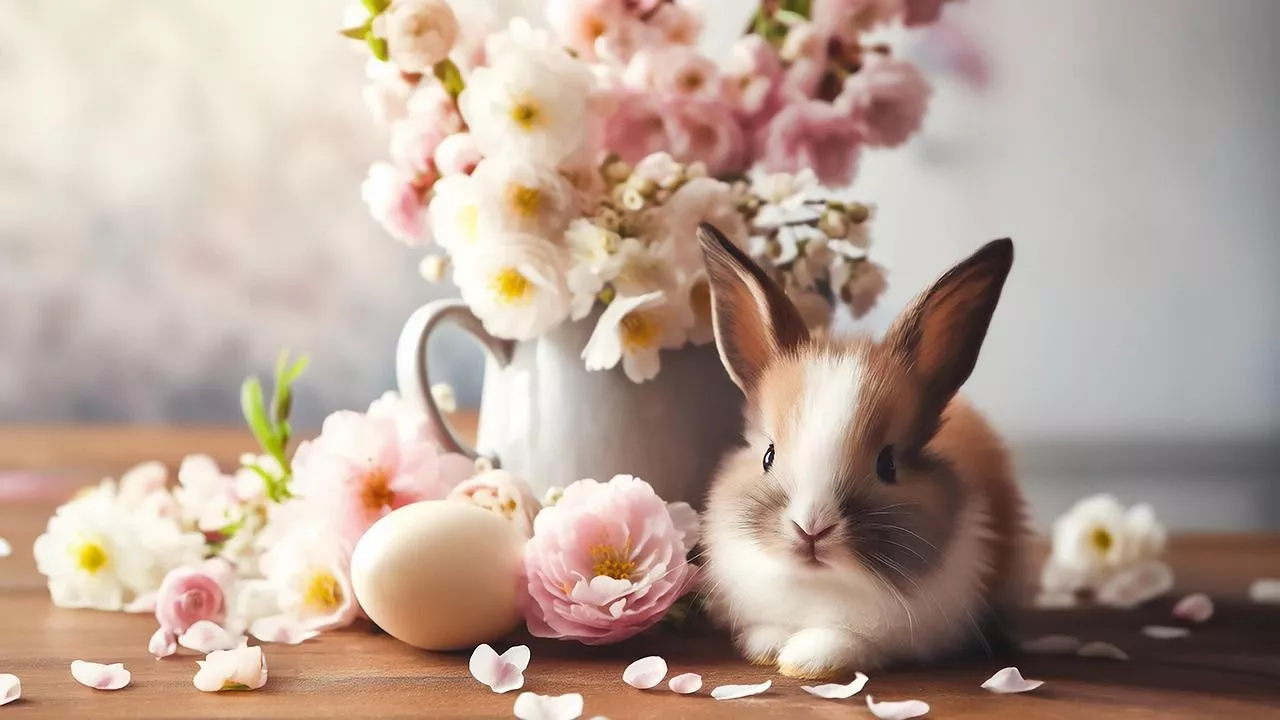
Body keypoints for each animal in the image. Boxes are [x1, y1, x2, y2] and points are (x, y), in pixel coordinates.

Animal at [694, 222, 1029, 680]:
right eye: (768, 456)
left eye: (887, 464)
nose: (811, 529)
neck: (818, 585)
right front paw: (770, 649)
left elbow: (845, 642)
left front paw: (804, 661)